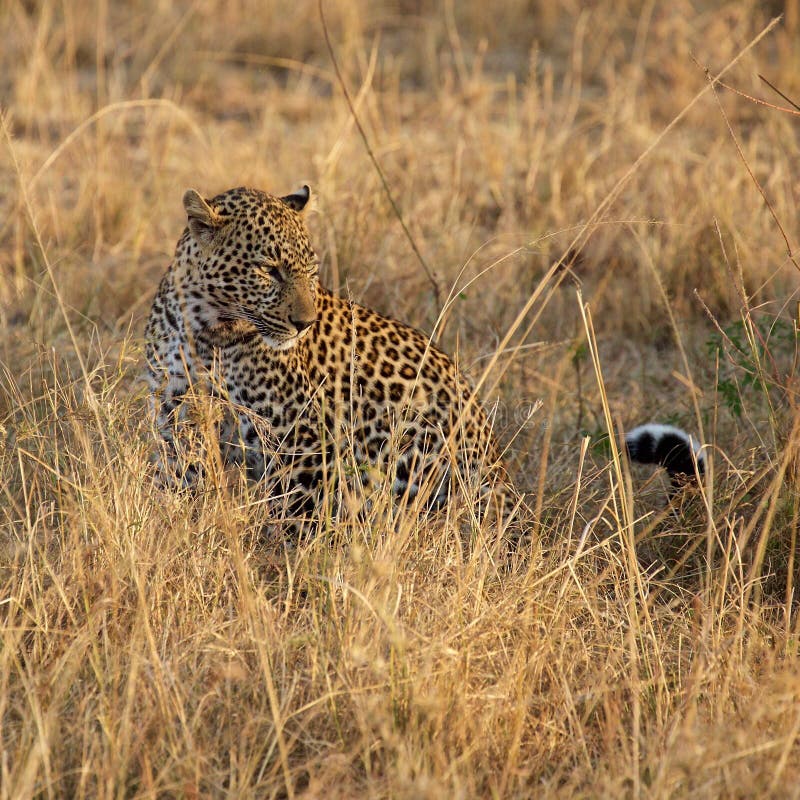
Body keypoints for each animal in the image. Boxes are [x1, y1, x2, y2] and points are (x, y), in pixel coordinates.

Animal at [144, 185, 527, 539]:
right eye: (269, 270)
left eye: (311, 271)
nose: (305, 324)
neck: (205, 329)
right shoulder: (173, 417)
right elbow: (176, 486)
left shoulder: (301, 442)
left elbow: (297, 517)